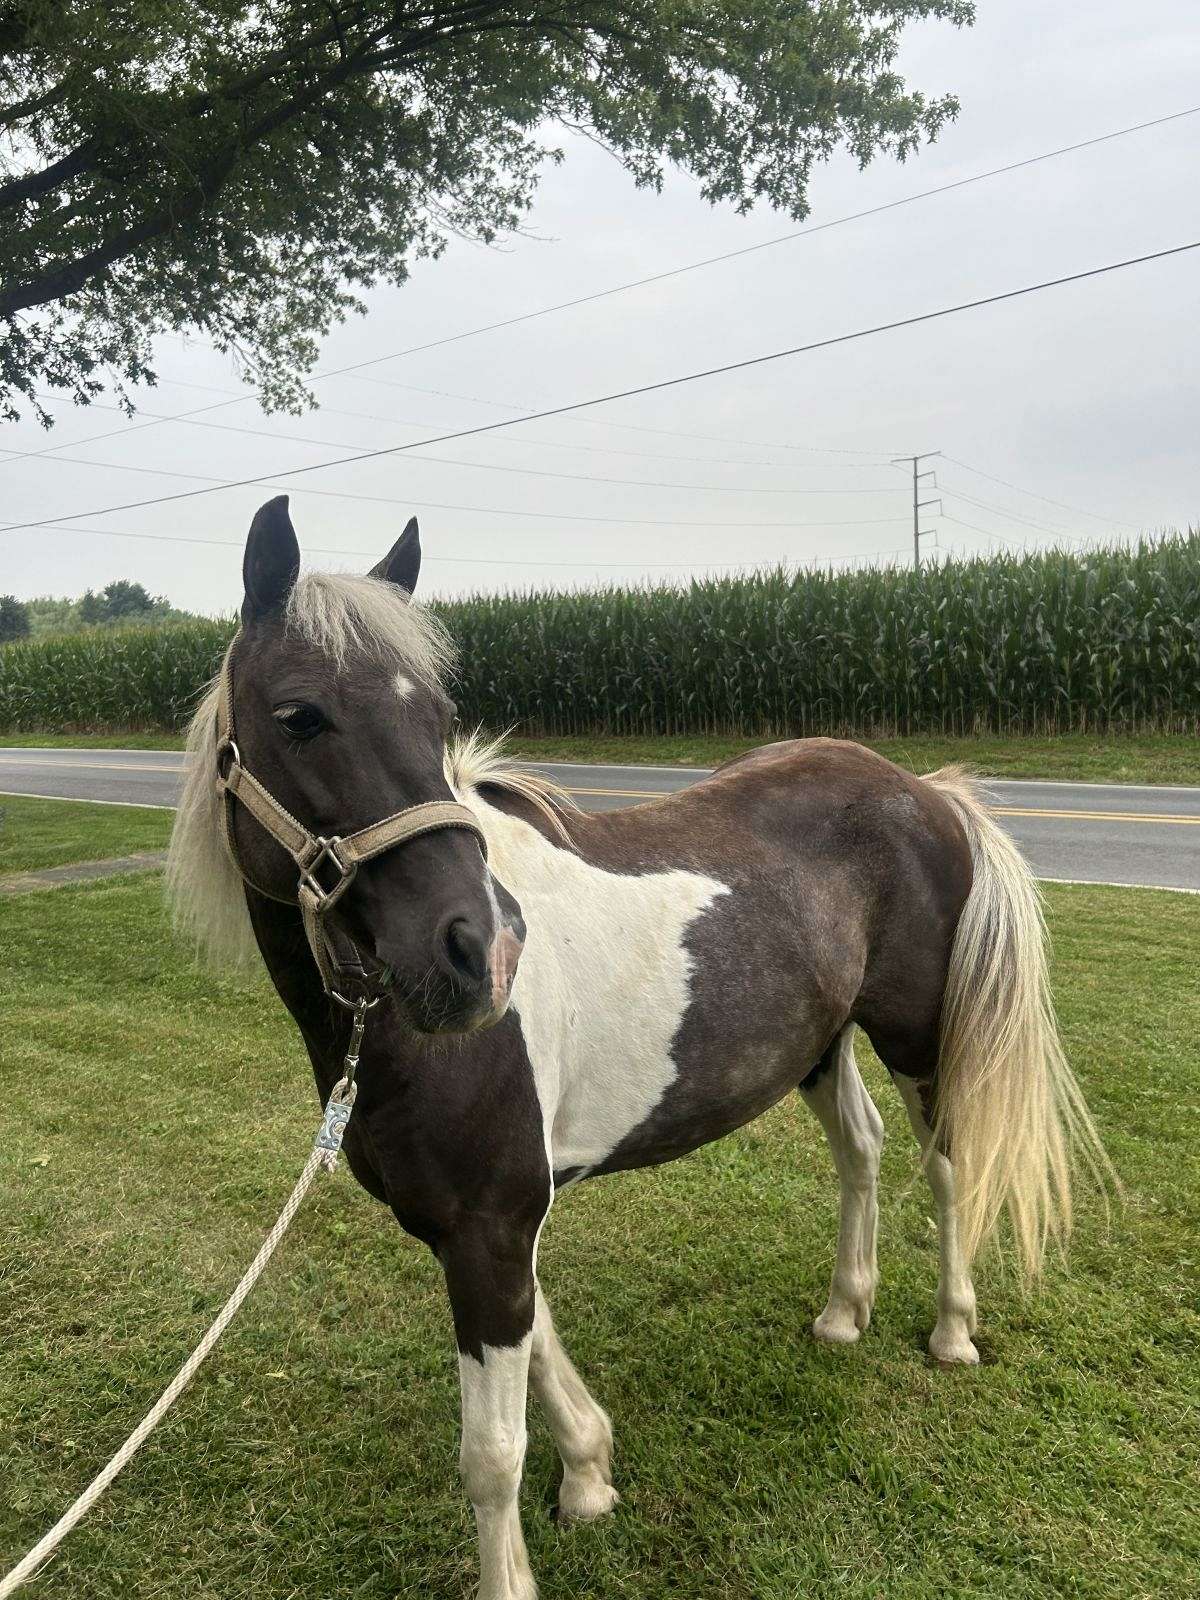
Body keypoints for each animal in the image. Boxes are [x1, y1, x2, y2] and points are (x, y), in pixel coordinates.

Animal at [166, 496, 1106, 1600]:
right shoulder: (482, 1224)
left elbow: (491, 1454)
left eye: (437, 720)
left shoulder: (491, 1224)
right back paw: (844, 1312)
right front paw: (590, 1472)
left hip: (916, 1034)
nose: (483, 951)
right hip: (818, 1043)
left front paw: (525, 1553)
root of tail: (922, 790)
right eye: (299, 715)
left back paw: (954, 1329)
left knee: (948, 1163)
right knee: (861, 1150)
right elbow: (542, 1345)